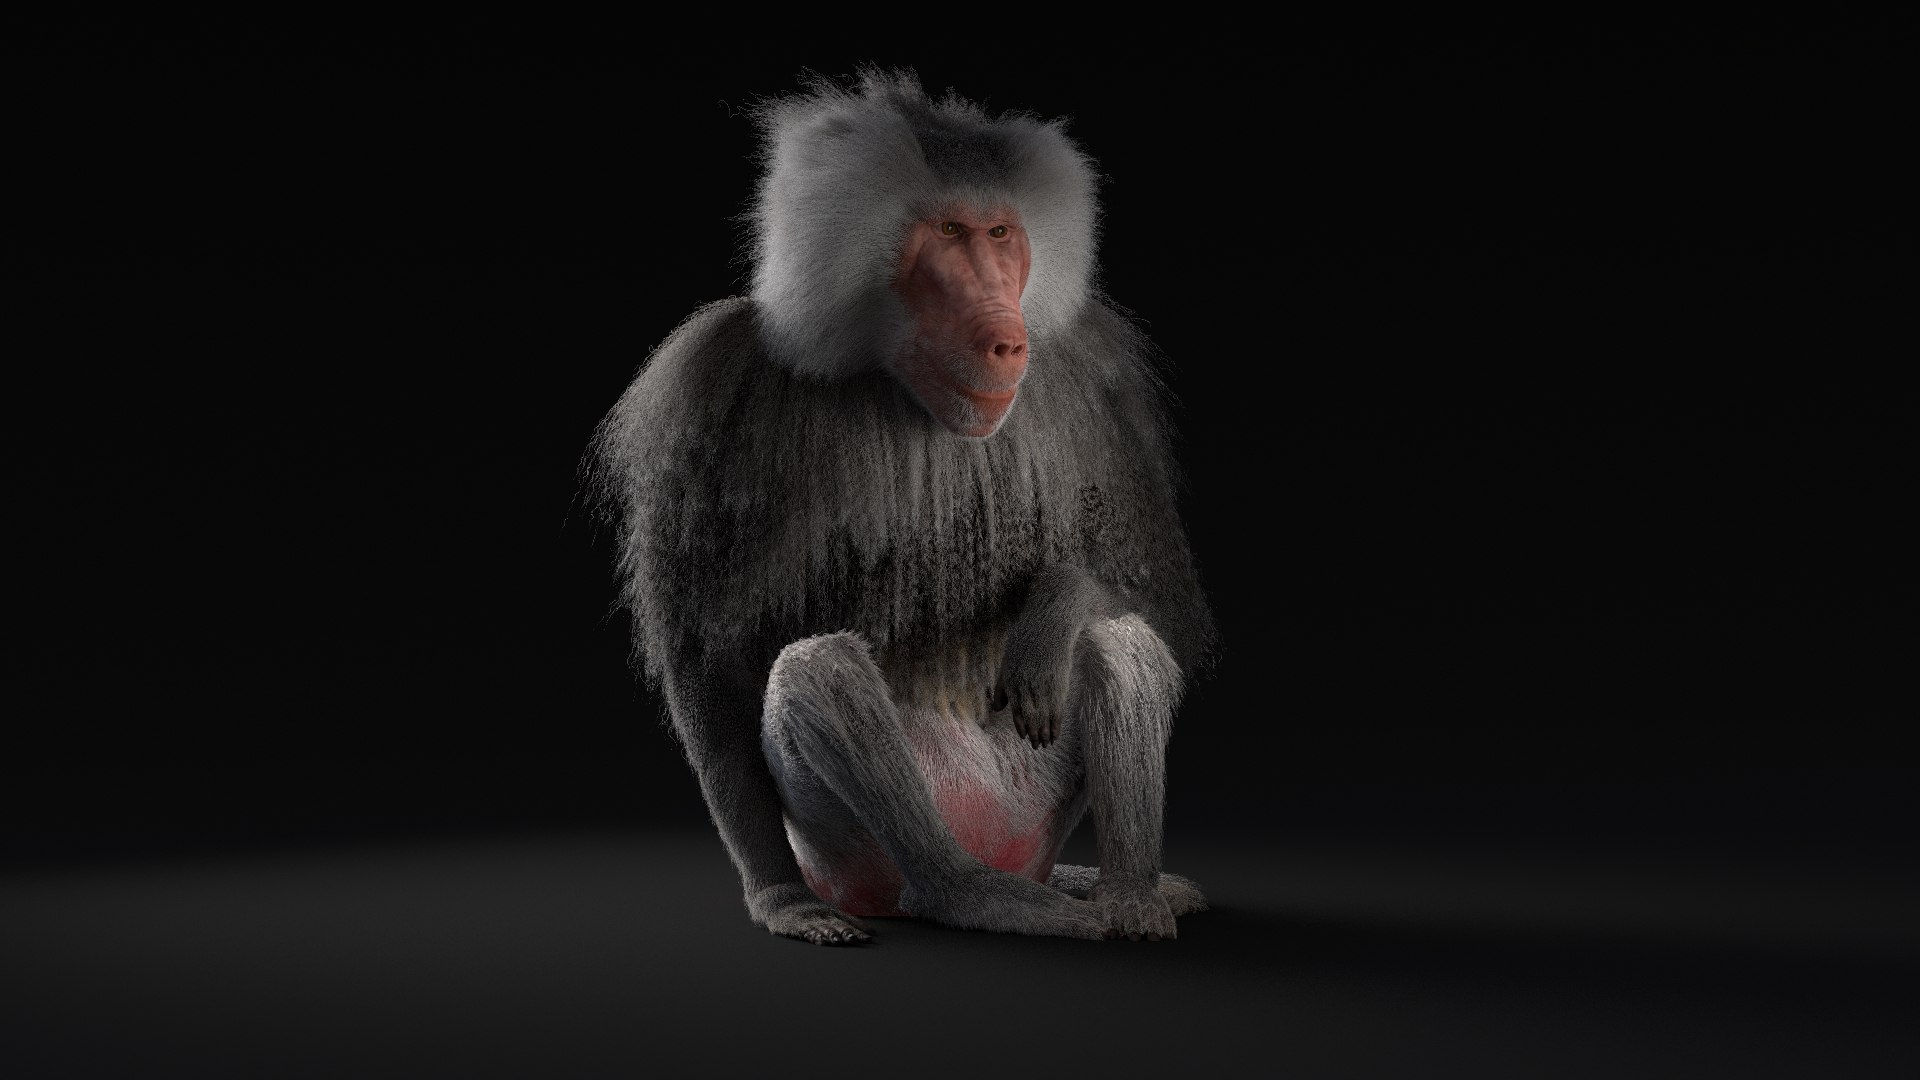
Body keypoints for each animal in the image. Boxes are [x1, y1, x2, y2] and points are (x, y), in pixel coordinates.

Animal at [587, 68, 1215, 944]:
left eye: (1000, 234)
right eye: (950, 233)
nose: (1008, 341)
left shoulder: (1102, 380)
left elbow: (1163, 604)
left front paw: (1052, 610)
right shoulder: (711, 389)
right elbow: (709, 662)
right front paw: (780, 900)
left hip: (1030, 798)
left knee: (1117, 637)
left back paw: (1127, 894)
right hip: (846, 851)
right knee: (818, 672)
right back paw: (971, 894)